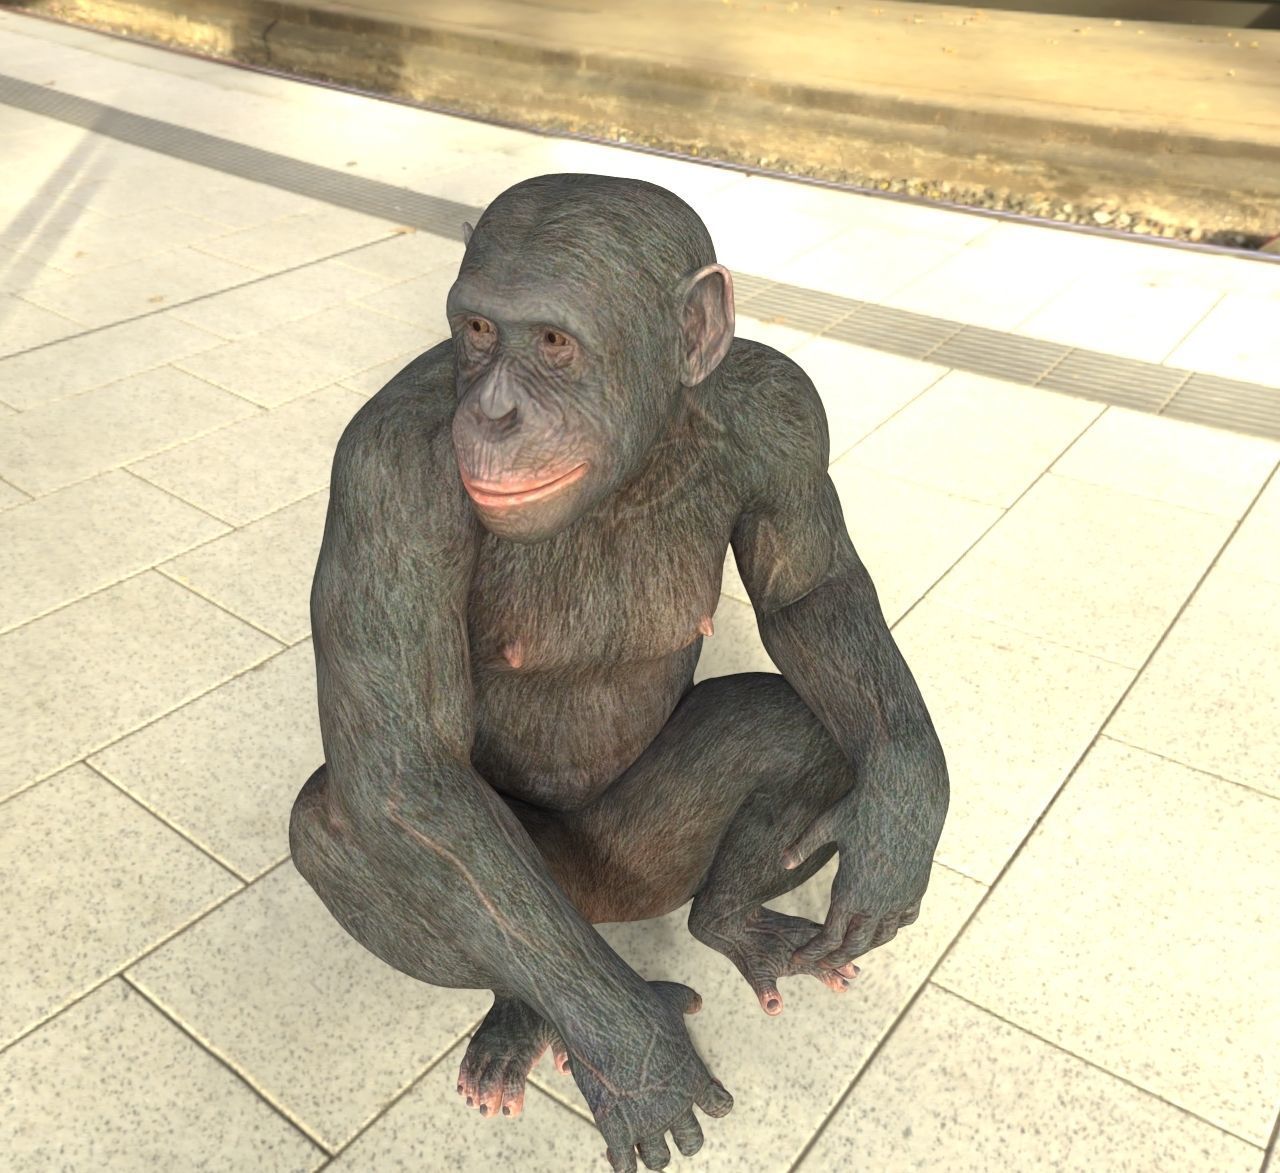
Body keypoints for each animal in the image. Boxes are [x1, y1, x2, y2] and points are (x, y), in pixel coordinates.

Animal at [289, 173, 948, 1172]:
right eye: (477, 329)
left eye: (555, 342)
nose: (494, 412)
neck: (634, 458)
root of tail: (603, 913)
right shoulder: (383, 478)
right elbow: (407, 773)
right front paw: (639, 1058)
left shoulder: (786, 412)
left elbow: (811, 593)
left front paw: (905, 813)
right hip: (550, 902)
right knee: (355, 831)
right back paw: (536, 1014)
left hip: (650, 857)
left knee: (807, 724)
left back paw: (731, 920)